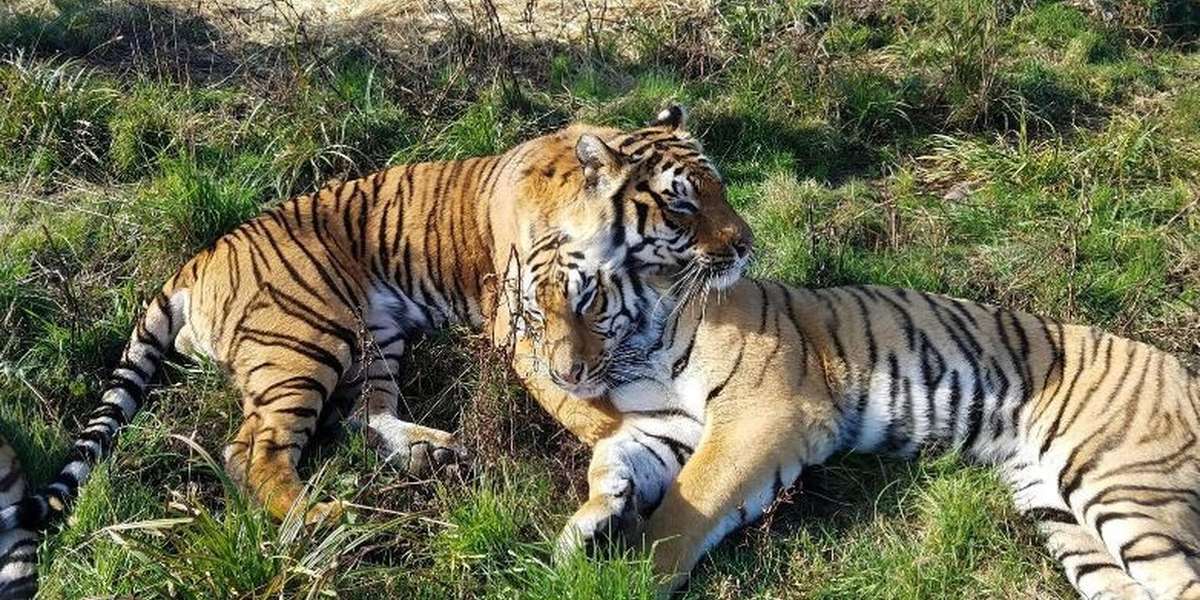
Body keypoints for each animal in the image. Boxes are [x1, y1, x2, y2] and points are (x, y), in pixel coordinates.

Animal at [0, 105, 753, 598]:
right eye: (682, 206)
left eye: (720, 186)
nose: (747, 245)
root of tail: (199, 257)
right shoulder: (522, 325)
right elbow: (585, 404)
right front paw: (626, 441)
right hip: (305, 338)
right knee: (254, 448)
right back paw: (321, 517)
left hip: (377, 336)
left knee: (362, 416)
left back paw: (432, 452)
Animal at [513, 267, 1200, 600]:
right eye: (532, 312)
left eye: (585, 302)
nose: (559, 372)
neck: (643, 349)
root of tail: (1185, 372)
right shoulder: (668, 428)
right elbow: (612, 460)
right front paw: (588, 529)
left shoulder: (765, 412)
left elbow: (690, 503)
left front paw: (635, 576)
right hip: (1058, 511)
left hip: (1121, 483)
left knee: (1178, 581)